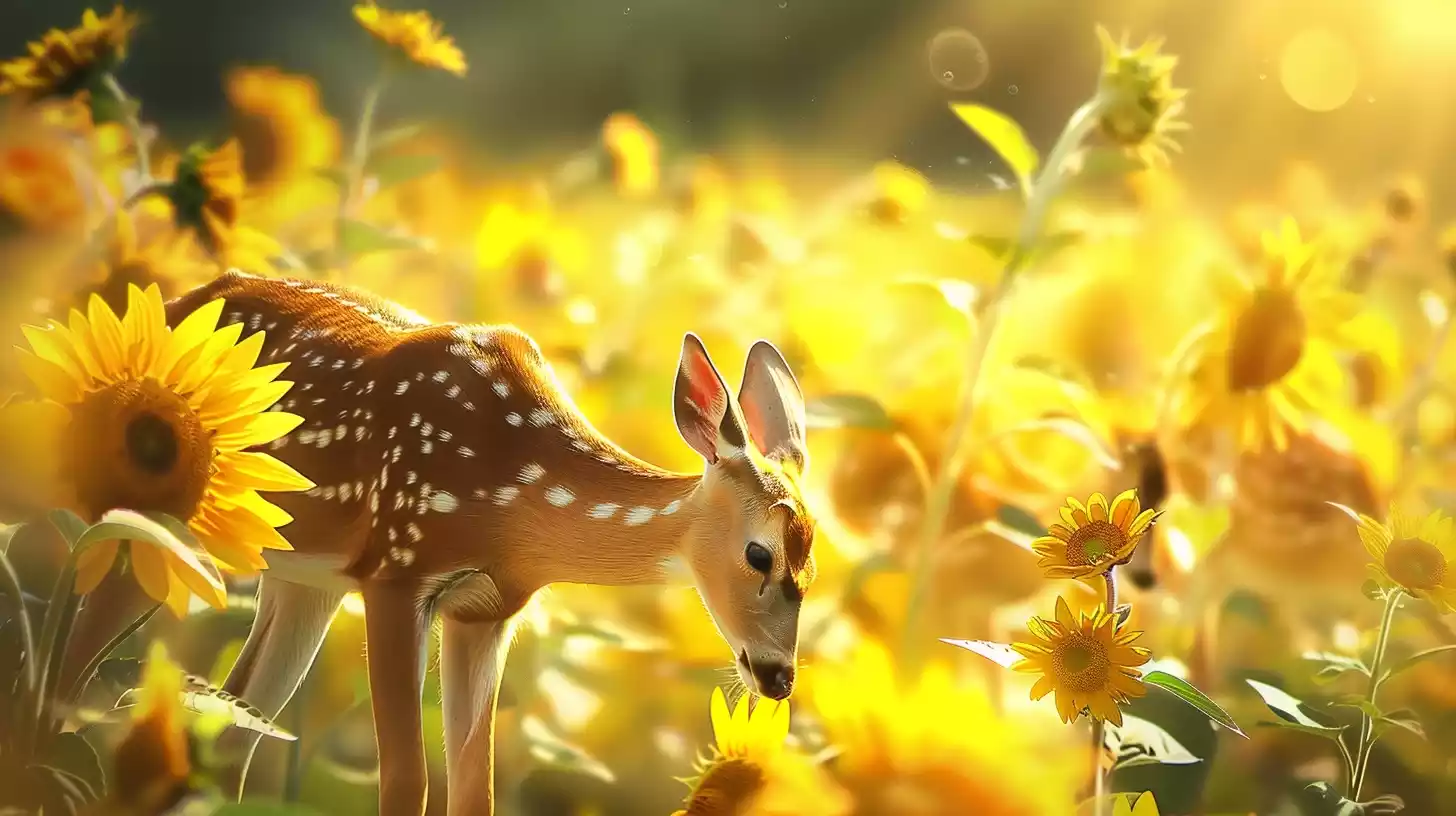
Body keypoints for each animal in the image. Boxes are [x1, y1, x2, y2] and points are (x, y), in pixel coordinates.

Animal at [62, 269, 818, 815]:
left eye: (814, 565)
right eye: (760, 553)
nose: (778, 678)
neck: (519, 497)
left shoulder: (485, 610)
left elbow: (473, 790)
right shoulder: (397, 568)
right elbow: (405, 781)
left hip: (299, 580)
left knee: (230, 723)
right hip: (149, 529)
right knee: (67, 679)